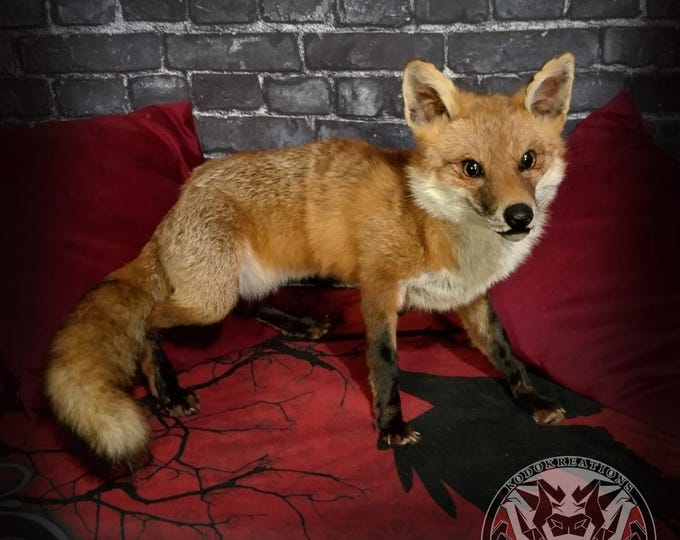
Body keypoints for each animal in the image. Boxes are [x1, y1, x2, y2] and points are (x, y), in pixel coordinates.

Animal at [45, 53, 575, 468]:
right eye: (471, 169)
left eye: (528, 160)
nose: (520, 216)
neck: (433, 224)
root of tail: (178, 200)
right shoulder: (378, 287)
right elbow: (384, 361)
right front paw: (391, 424)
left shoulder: (470, 296)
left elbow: (506, 354)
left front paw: (533, 398)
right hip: (208, 301)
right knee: (149, 325)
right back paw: (168, 389)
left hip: (242, 283)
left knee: (247, 305)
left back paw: (299, 325)